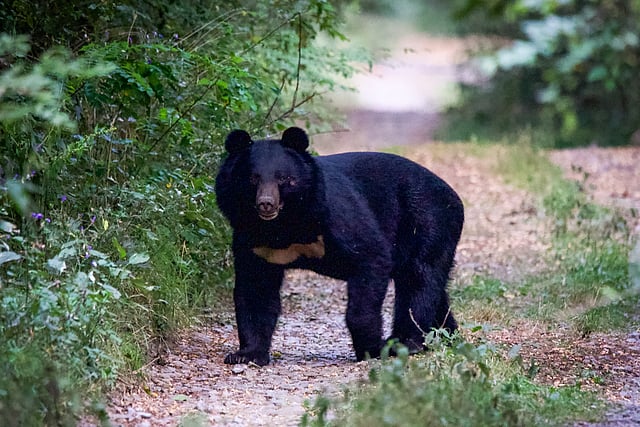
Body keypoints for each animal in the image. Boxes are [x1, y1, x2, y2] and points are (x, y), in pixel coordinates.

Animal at [215, 127, 464, 366]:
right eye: (252, 178)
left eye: (284, 178)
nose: (266, 204)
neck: (284, 225)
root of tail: (452, 194)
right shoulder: (254, 242)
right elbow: (255, 291)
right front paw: (246, 355)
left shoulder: (336, 217)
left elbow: (370, 258)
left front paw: (371, 348)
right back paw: (445, 335)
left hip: (427, 221)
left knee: (418, 280)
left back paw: (407, 342)